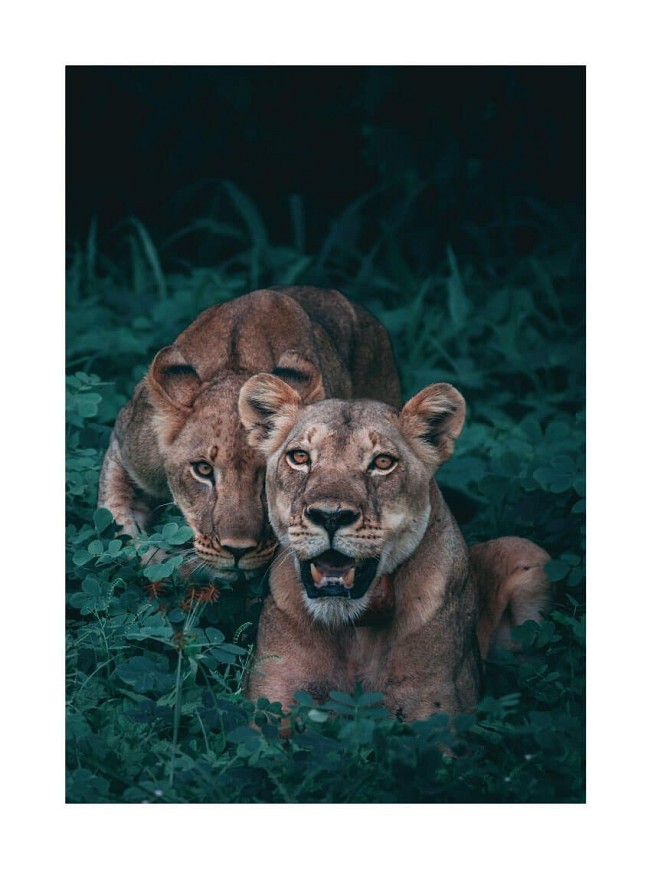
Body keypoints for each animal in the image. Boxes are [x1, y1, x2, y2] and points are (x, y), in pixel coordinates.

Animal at [238, 374, 550, 720]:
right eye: (300, 457)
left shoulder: (435, 708)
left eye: (383, 462)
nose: (330, 516)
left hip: (526, 550)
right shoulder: (272, 696)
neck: (353, 629)